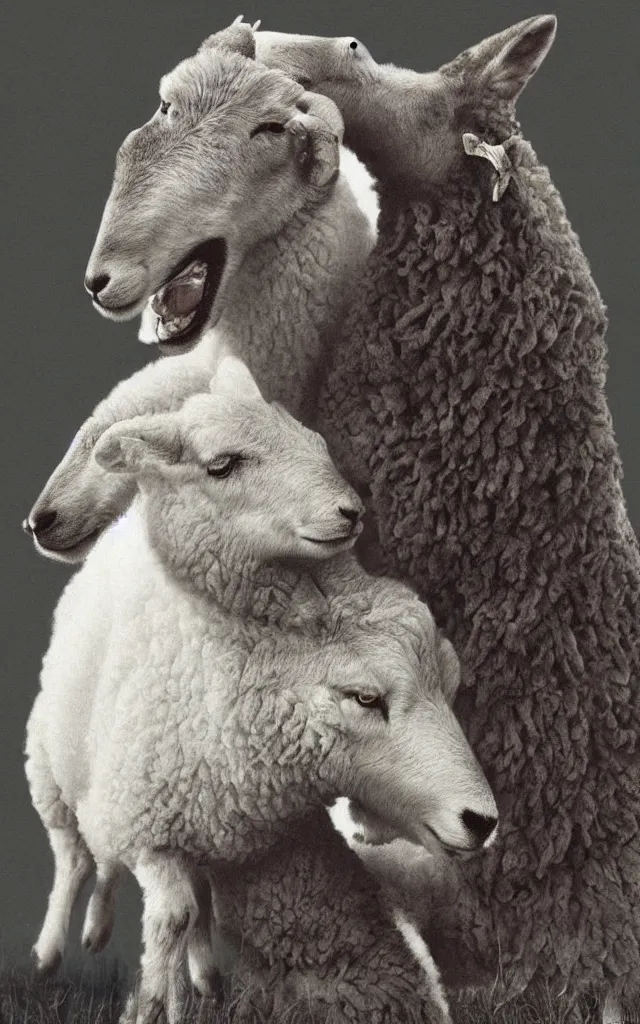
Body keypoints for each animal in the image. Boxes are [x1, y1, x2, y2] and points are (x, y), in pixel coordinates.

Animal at [25, 356, 499, 1024]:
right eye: (366, 698)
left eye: (452, 686)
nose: (482, 821)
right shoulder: (149, 823)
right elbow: (168, 916)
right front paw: (148, 1005)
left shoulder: (217, 829)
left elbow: (189, 910)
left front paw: (178, 993)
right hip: (48, 762)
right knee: (71, 851)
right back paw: (53, 951)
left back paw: (176, 967)